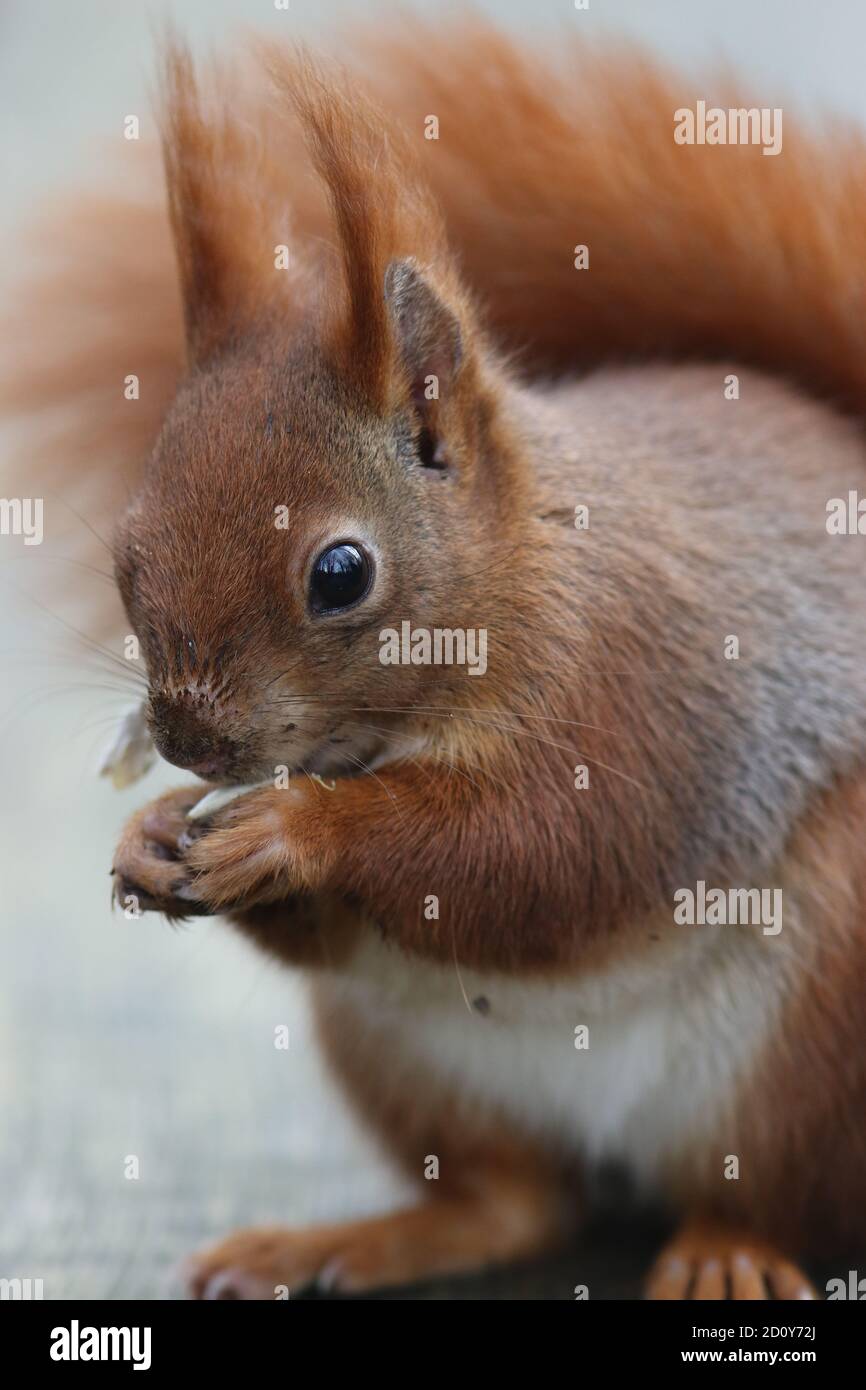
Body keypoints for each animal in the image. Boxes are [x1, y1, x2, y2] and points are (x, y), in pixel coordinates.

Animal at [8, 16, 866, 1299]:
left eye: (340, 573)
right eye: (129, 545)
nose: (186, 739)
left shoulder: (645, 684)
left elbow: (549, 851)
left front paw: (295, 826)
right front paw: (148, 837)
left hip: (817, 1021)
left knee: (763, 1188)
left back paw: (727, 1252)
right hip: (410, 1060)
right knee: (512, 1204)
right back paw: (345, 1240)